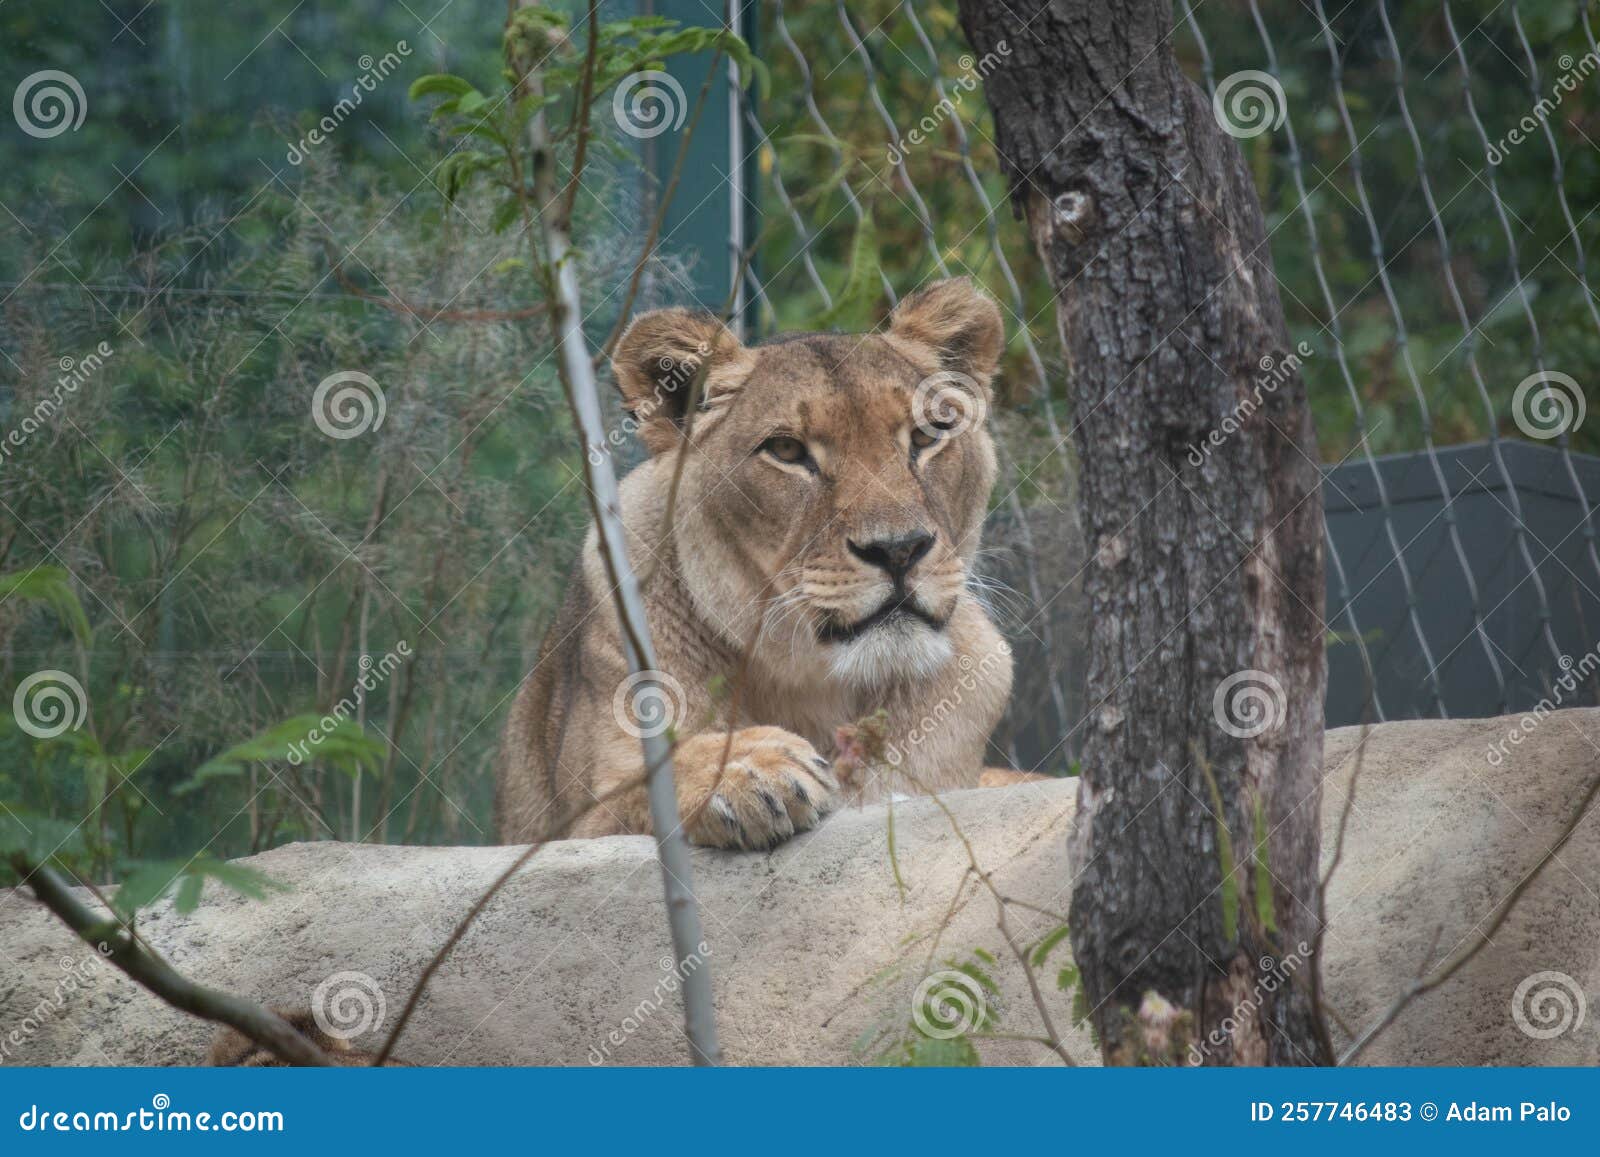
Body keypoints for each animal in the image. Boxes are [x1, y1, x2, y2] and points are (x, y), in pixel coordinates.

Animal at [495, 277, 1018, 851]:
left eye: (927, 435)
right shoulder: (564, 832)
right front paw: (746, 767)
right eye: (787, 450)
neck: (814, 686)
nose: (899, 549)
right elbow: (646, 782)